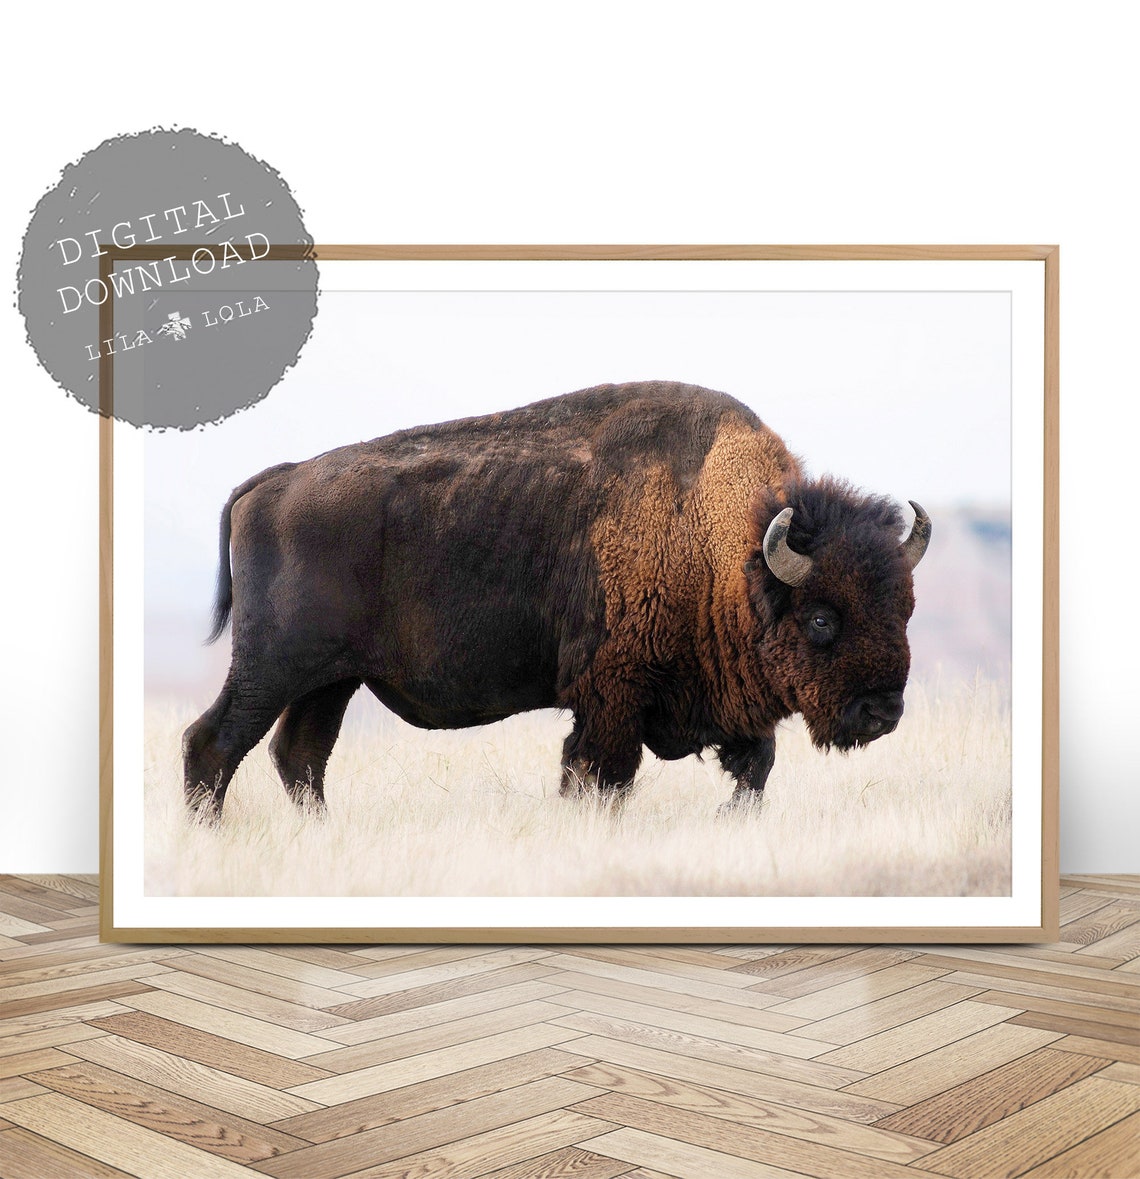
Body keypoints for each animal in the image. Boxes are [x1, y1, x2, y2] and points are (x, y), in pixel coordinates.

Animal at [183, 381, 930, 820]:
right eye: (823, 617)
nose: (882, 711)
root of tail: (276, 482)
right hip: (274, 667)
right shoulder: (611, 697)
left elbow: (755, 769)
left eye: (905, 610)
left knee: (299, 756)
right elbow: (601, 775)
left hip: (330, 681)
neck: (725, 542)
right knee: (214, 743)